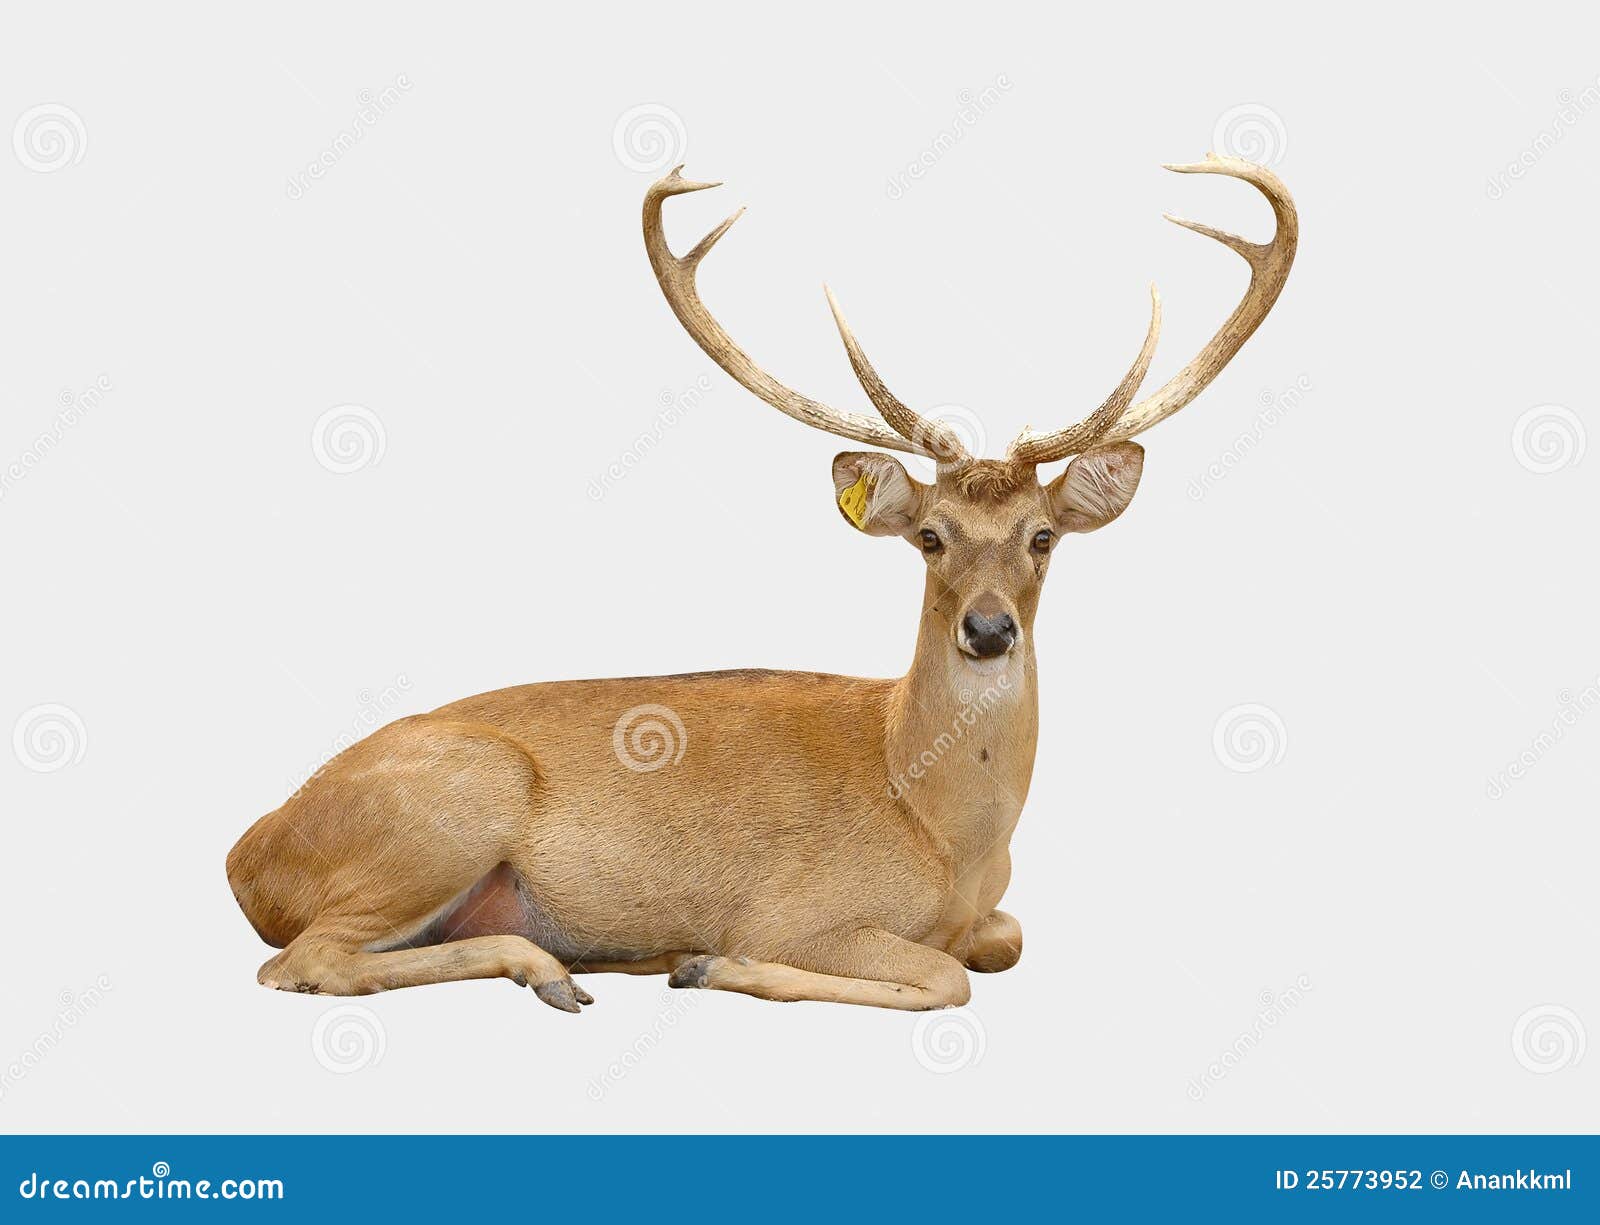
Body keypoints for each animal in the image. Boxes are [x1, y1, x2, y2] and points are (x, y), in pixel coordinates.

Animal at [226, 154, 1296, 1012]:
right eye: (932, 537)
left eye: (1042, 537)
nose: (989, 630)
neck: (944, 827)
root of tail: (249, 851)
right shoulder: (803, 905)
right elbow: (940, 975)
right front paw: (709, 962)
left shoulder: (989, 913)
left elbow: (1003, 943)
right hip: (453, 799)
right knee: (301, 959)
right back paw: (561, 970)